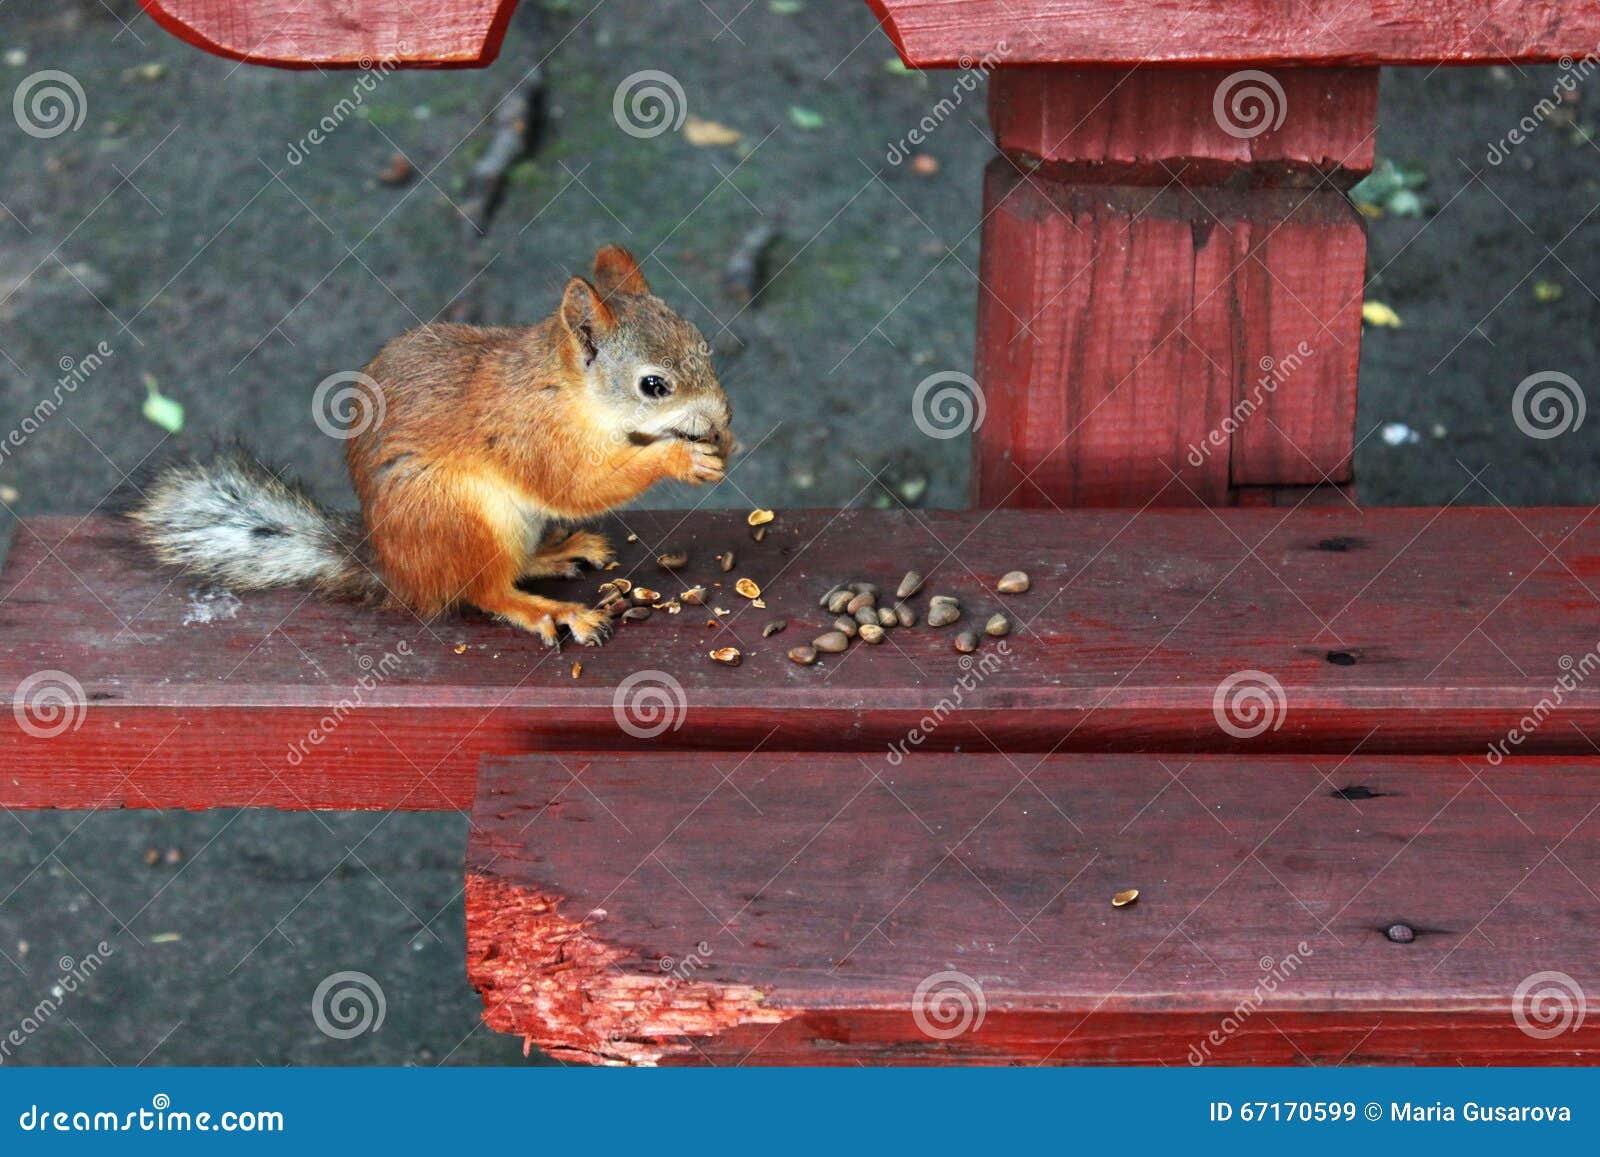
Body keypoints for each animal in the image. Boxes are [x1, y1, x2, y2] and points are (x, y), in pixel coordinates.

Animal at [129, 245, 733, 647]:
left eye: (702, 346)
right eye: (653, 385)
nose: (721, 418)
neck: (566, 391)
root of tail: (396, 573)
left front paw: (719, 439)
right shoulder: (529, 435)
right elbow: (576, 485)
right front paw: (679, 456)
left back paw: (557, 553)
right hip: (455, 515)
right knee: (483, 590)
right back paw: (549, 611)